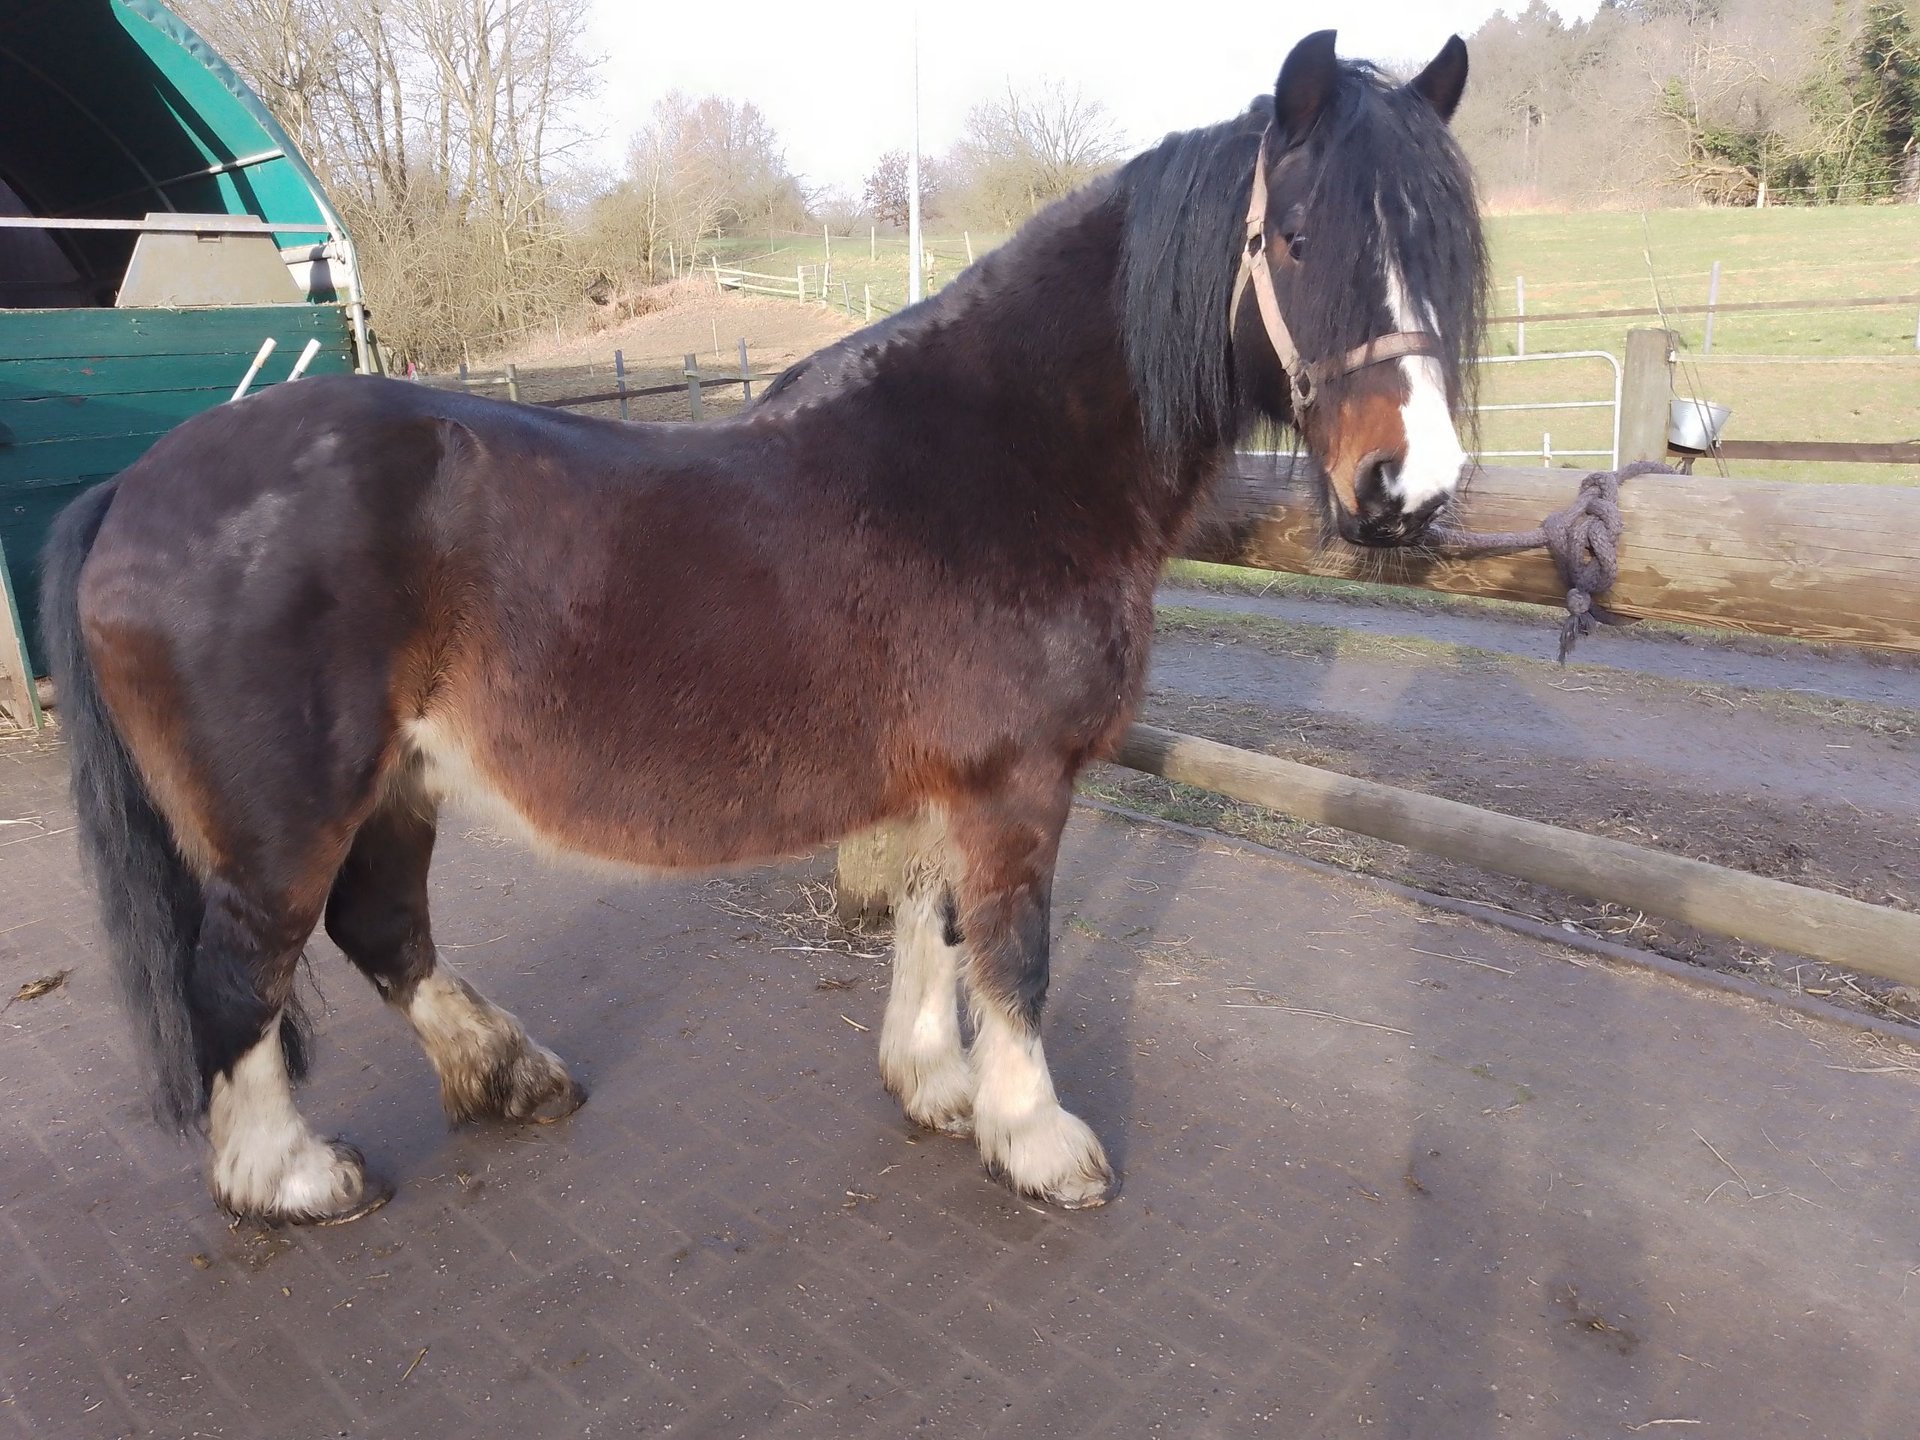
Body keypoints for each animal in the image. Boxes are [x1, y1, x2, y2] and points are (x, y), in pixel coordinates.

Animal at [39, 30, 1486, 1223]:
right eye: (1297, 242)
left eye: (1445, 255)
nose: (1408, 488)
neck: (997, 454)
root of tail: (132, 486)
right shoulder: (1013, 783)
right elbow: (1014, 954)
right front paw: (1037, 1138)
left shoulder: (947, 778)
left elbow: (933, 922)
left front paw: (935, 1086)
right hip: (284, 819)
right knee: (241, 976)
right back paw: (288, 1178)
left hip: (398, 782)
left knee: (382, 933)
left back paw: (509, 1077)